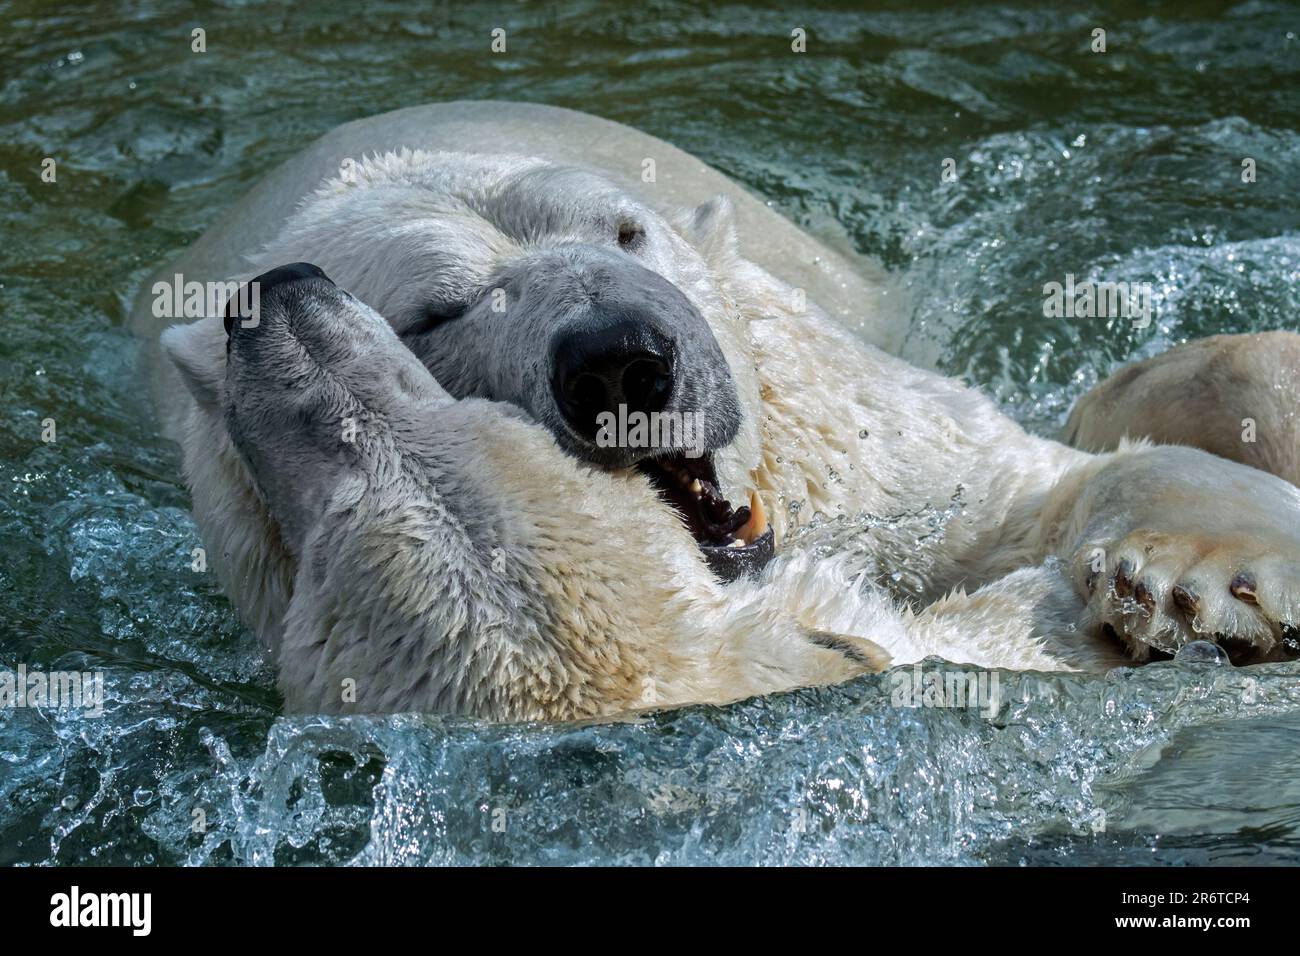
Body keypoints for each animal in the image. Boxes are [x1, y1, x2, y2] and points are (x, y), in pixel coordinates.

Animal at [138, 102, 1300, 719]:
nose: (620, 361)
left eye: (624, 230)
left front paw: (1191, 575)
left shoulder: (851, 452)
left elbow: (1021, 495)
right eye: (437, 311)